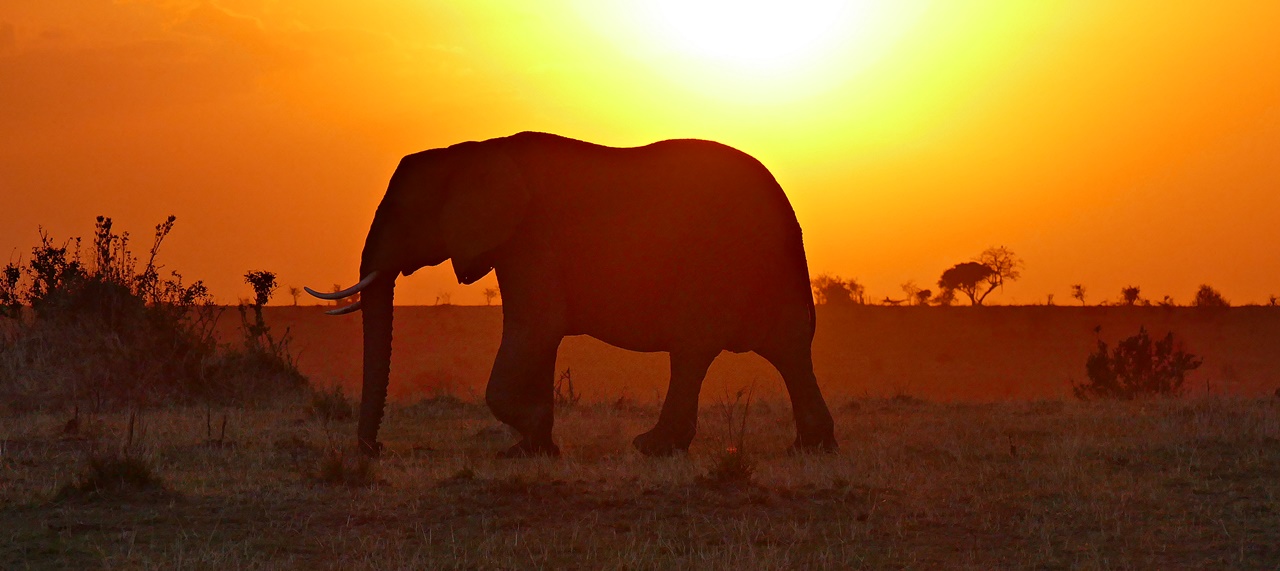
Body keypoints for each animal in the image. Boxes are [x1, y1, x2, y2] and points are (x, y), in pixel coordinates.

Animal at [307, 132, 837, 458]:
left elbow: (534, 329)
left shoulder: (531, 240)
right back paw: (809, 449)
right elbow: (539, 338)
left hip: (719, 264)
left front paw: (533, 439)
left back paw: (652, 448)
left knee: (696, 351)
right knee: (788, 351)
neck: (473, 150)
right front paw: (530, 451)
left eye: (402, 213)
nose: (376, 451)